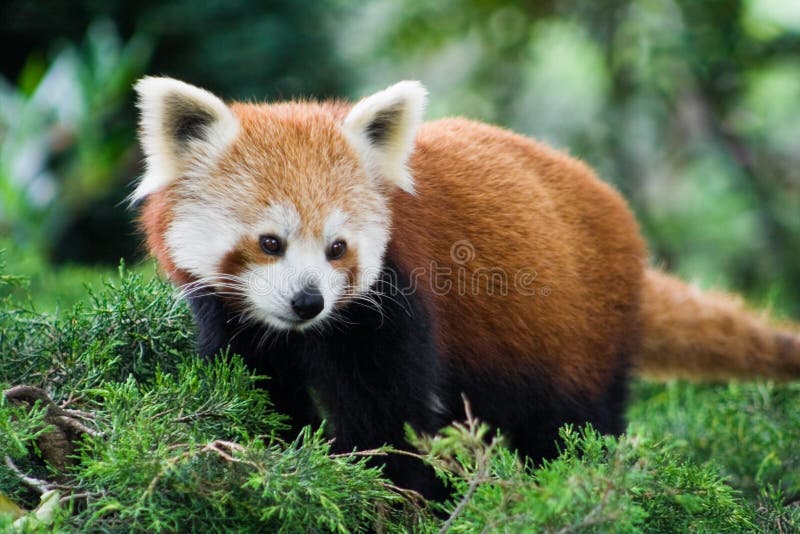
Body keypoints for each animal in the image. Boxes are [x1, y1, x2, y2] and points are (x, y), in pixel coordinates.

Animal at [133, 77, 800, 498]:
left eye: (337, 248)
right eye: (271, 242)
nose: (308, 301)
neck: (305, 332)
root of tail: (629, 242)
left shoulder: (395, 300)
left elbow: (388, 413)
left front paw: (387, 487)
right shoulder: (233, 314)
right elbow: (257, 384)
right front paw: (274, 452)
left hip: (581, 337)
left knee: (573, 424)